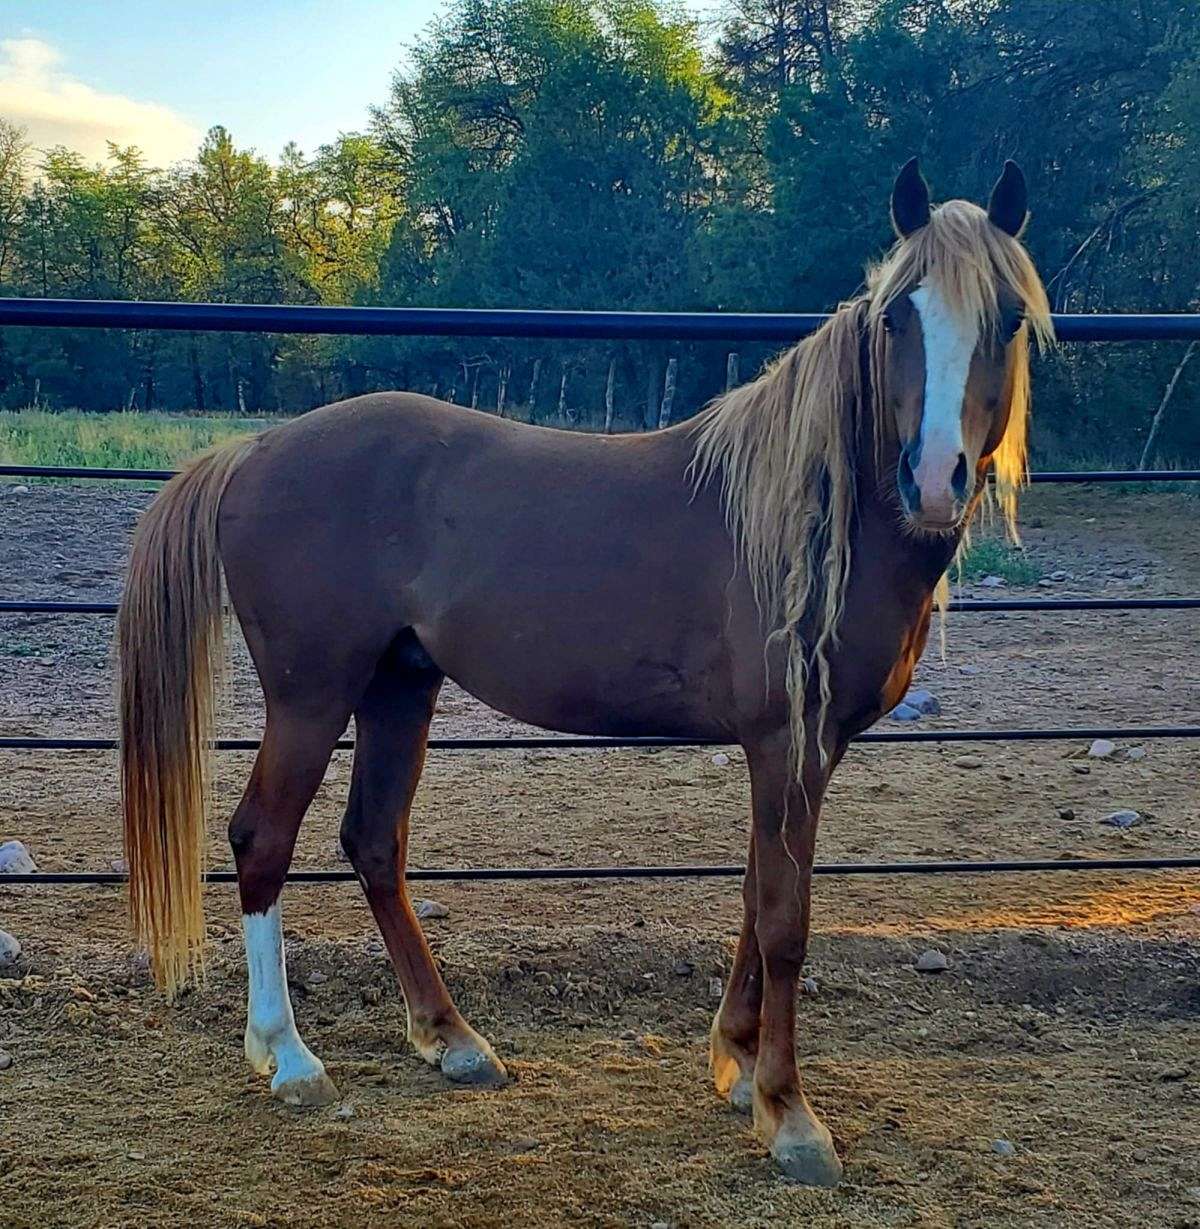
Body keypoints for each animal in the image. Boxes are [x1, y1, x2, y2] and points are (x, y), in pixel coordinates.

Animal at [117, 158, 1052, 1186]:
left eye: (1008, 315)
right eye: (896, 318)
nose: (935, 479)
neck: (807, 514)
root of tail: (252, 450)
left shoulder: (808, 748)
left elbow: (757, 894)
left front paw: (736, 1066)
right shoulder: (786, 742)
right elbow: (784, 918)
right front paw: (791, 1115)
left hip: (400, 684)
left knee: (373, 842)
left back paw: (451, 1039)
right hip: (311, 692)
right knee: (262, 839)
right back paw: (289, 1057)